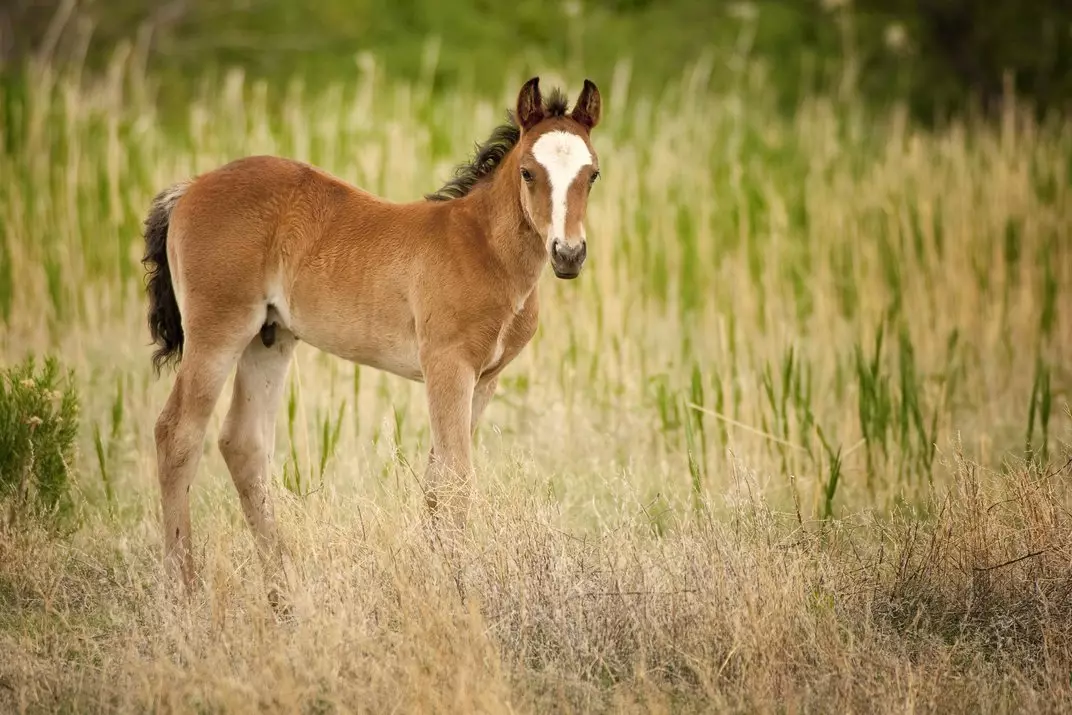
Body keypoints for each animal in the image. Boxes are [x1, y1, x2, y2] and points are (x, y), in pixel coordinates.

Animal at [140, 78, 604, 604]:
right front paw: (460, 590)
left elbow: (438, 479)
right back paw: (184, 590)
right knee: (177, 433)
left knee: (244, 443)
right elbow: (457, 478)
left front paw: (437, 577)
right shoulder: (448, 366)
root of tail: (191, 186)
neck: (484, 248)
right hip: (218, 331)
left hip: (269, 338)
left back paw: (284, 591)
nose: (568, 254)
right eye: (528, 172)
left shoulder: (484, 379)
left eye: (592, 174)